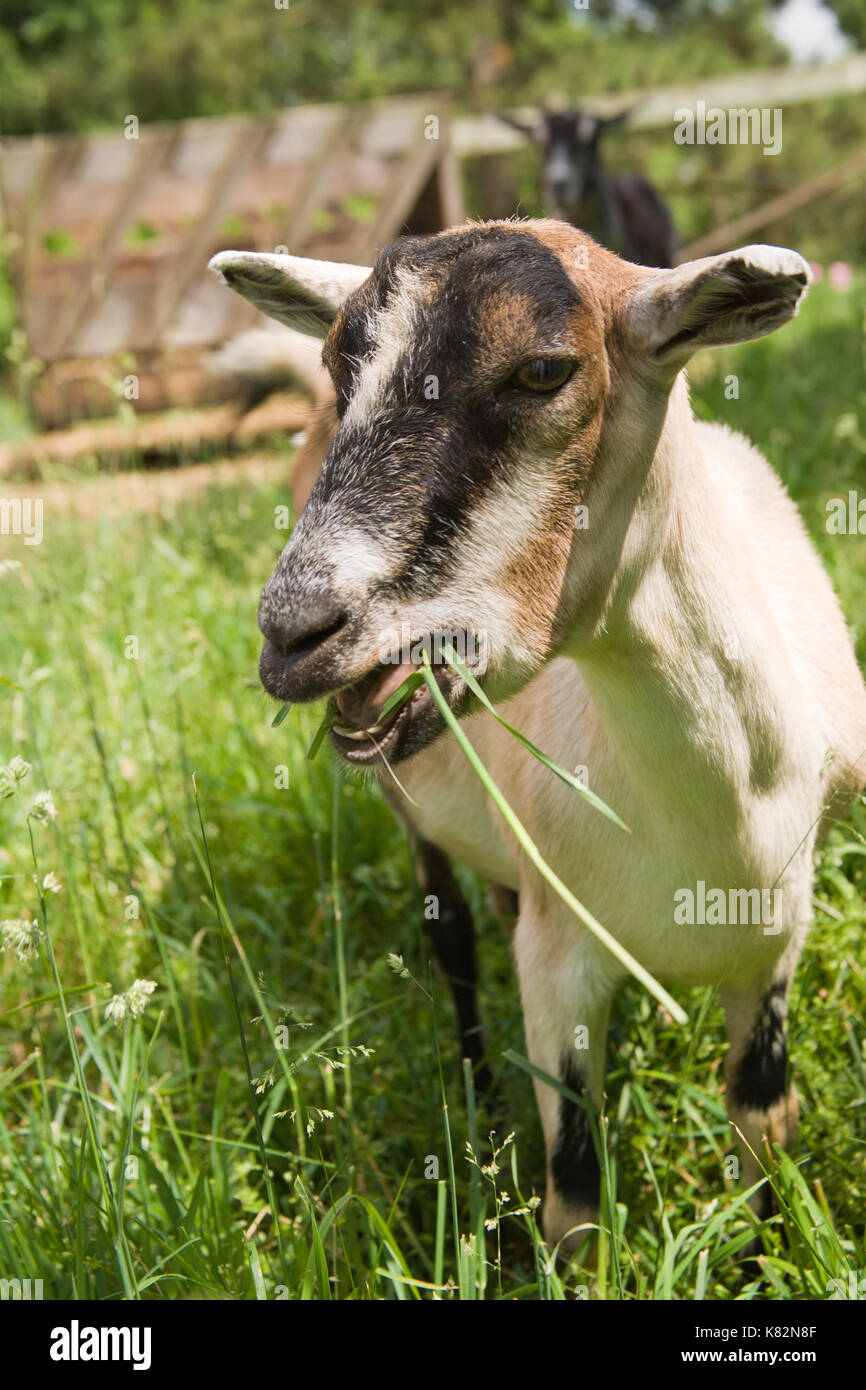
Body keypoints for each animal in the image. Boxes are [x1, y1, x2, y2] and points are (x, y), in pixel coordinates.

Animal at [210, 222, 866, 1252]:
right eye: (338, 368)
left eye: (544, 370)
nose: (294, 633)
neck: (717, 820)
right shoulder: (560, 968)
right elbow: (574, 1201)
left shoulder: (775, 943)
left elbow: (765, 1126)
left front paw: (763, 1258)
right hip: (412, 814)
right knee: (453, 941)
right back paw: (479, 1099)